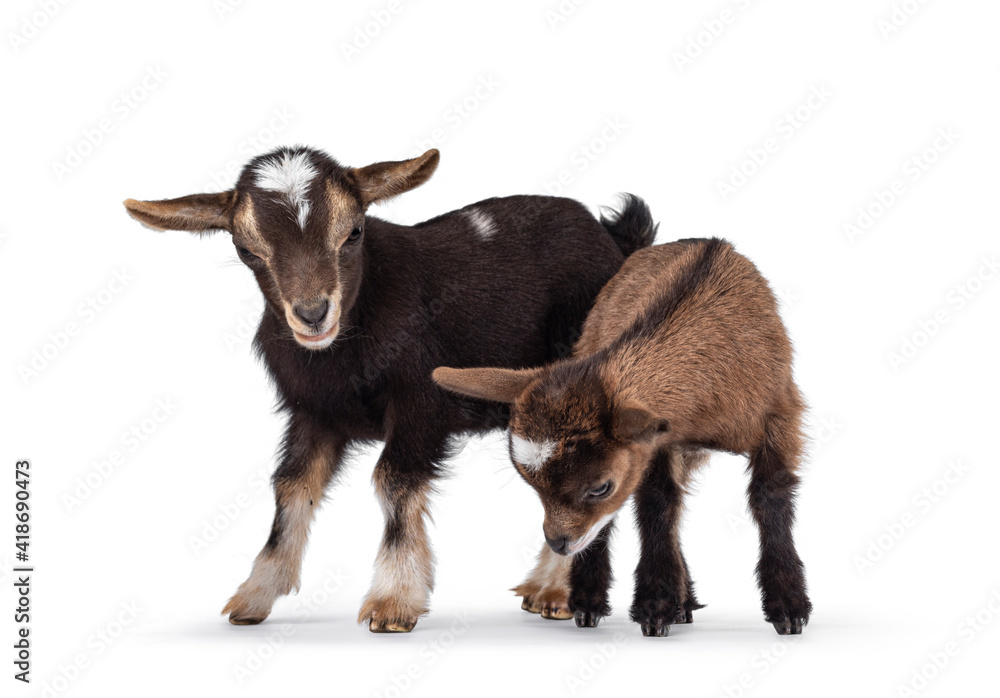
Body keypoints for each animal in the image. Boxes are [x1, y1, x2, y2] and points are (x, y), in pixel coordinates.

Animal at [123, 146, 655, 632]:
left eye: (354, 231)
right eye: (246, 249)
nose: (313, 314)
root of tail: (617, 242)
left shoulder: (422, 404)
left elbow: (393, 480)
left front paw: (393, 602)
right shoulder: (315, 413)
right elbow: (292, 486)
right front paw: (255, 595)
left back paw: (554, 593)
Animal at [433, 237, 812, 636]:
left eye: (600, 487)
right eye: (531, 485)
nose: (558, 542)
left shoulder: (780, 416)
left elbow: (771, 496)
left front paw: (789, 609)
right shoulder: (658, 442)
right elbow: (657, 504)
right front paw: (655, 608)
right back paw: (599, 604)